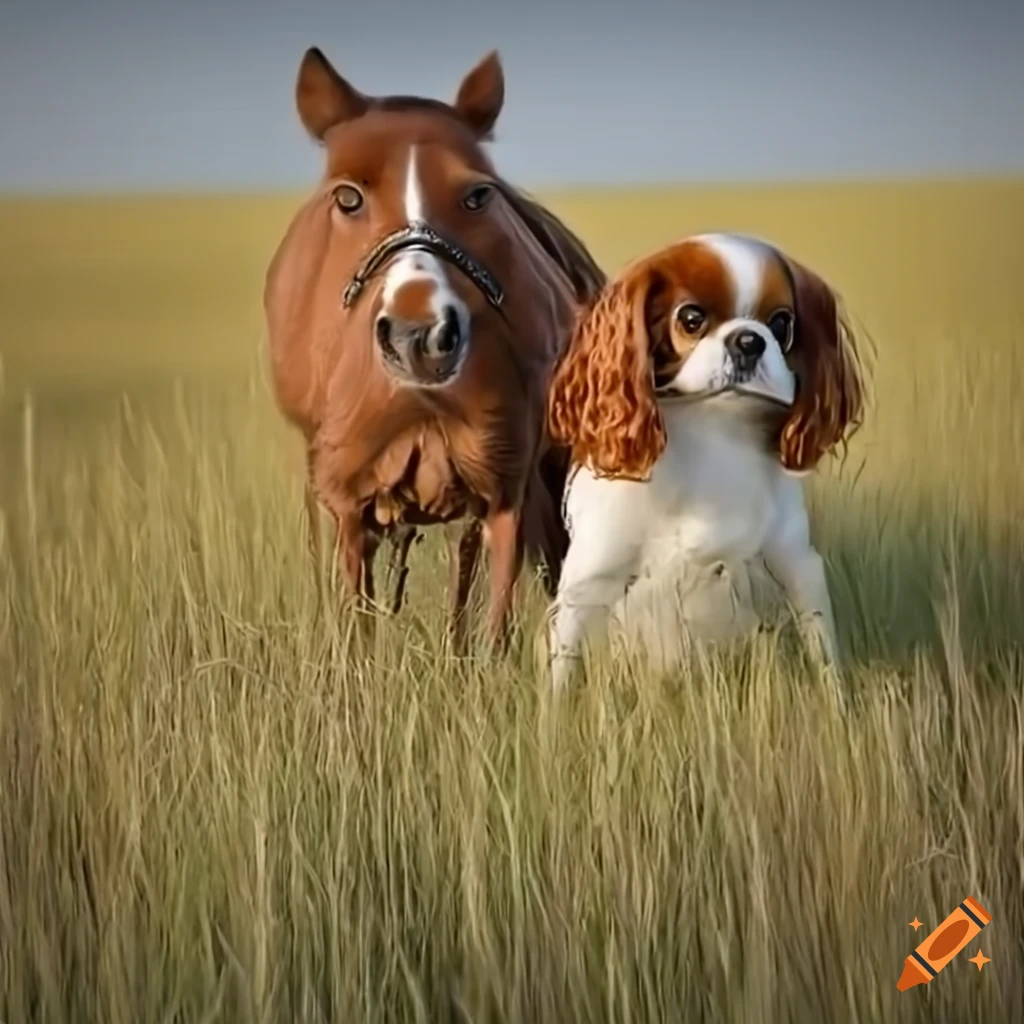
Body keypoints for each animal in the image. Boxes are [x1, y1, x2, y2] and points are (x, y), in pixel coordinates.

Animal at [263, 47, 605, 652]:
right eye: (347, 196)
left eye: (478, 195)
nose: (419, 337)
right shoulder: (341, 500)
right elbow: (355, 624)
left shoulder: (503, 488)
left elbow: (493, 624)